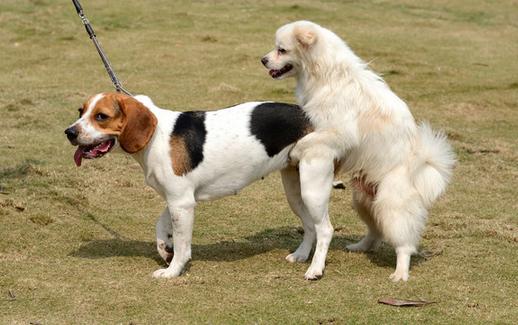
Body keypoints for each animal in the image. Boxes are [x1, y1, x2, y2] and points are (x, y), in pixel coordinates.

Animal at [65, 92, 336, 280]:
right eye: (80, 111)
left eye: (101, 116)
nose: (69, 132)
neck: (155, 137)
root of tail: (316, 117)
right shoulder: (178, 200)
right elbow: (160, 225)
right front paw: (164, 249)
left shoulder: (182, 203)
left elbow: (183, 245)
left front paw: (172, 271)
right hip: (295, 191)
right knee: (310, 226)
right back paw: (301, 256)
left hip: (312, 189)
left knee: (325, 229)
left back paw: (315, 270)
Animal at [264, 20, 460, 280]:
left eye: (282, 50)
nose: (263, 60)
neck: (327, 75)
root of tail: (422, 166)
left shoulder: (339, 132)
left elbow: (309, 141)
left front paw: (298, 149)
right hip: (363, 201)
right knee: (376, 233)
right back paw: (360, 247)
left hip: (391, 206)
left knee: (404, 244)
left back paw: (400, 273)